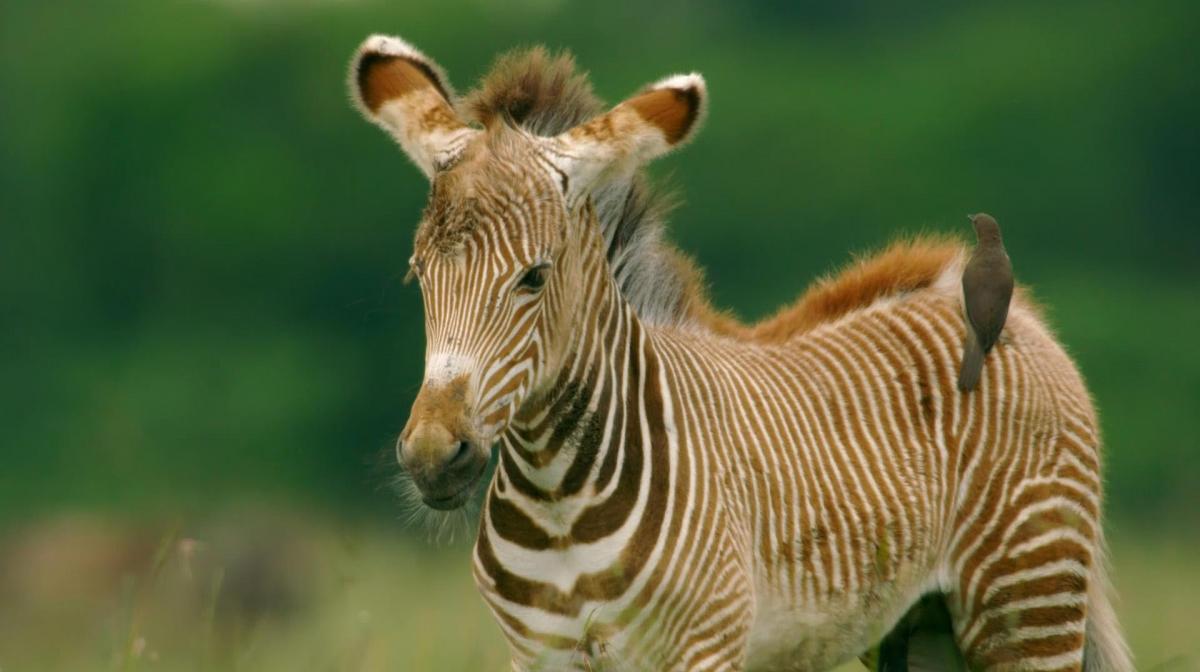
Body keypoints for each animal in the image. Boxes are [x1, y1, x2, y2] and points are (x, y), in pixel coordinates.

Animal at [348, 35, 1133, 672]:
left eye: (533, 278)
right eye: (417, 276)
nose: (432, 456)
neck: (558, 499)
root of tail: (1003, 306)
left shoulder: (702, 646)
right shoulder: (542, 655)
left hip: (1026, 600)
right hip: (923, 624)